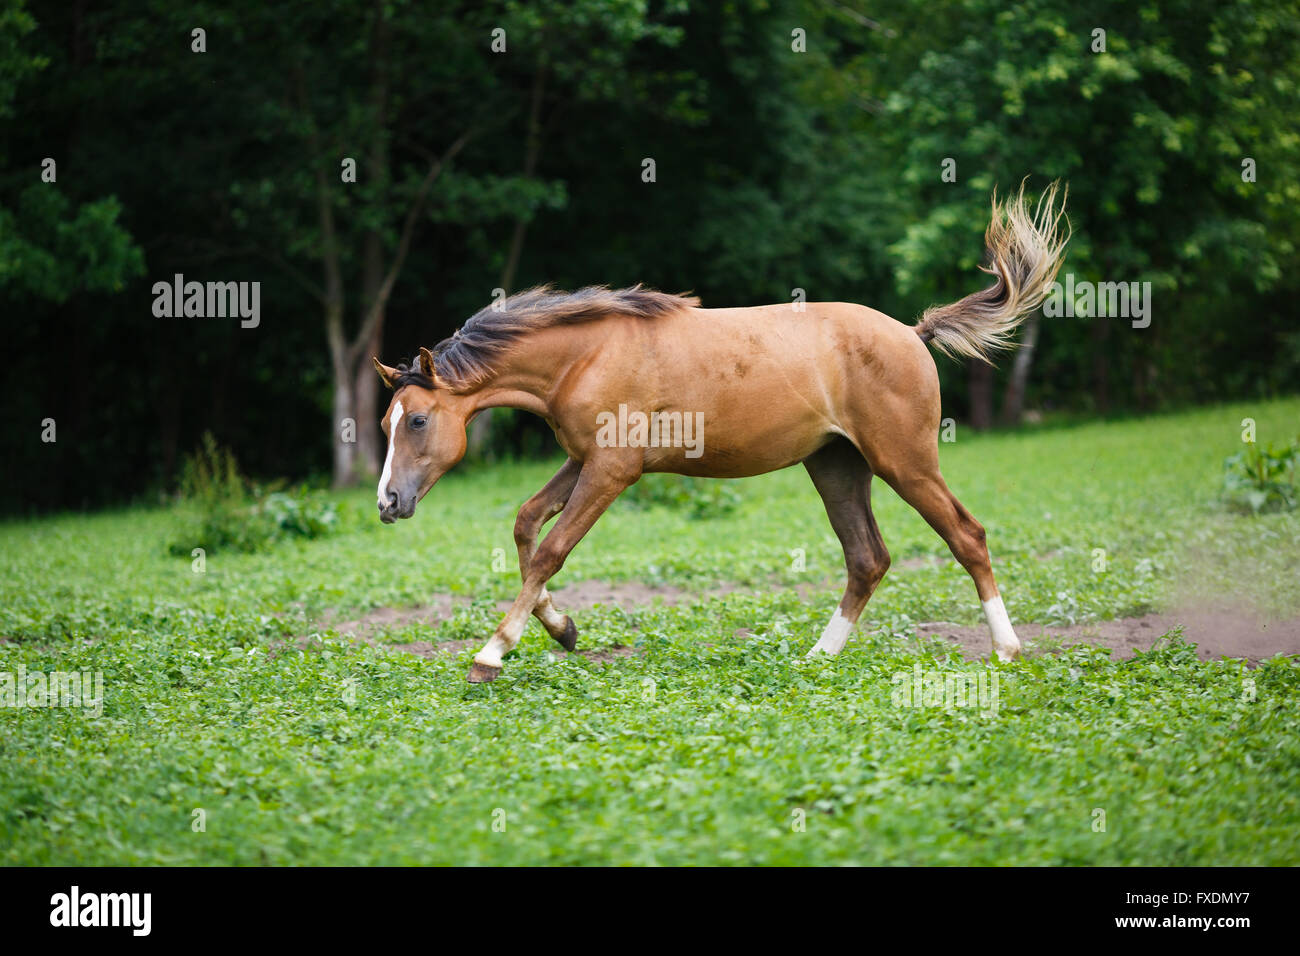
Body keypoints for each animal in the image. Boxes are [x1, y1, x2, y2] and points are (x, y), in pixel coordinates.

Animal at [373, 181, 1068, 682]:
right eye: (384, 421)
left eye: (417, 420)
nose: (388, 501)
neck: (586, 356)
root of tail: (912, 332)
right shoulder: (581, 461)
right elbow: (524, 524)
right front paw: (562, 629)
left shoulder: (613, 470)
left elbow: (550, 548)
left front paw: (491, 653)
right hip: (837, 466)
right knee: (868, 558)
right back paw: (818, 656)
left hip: (905, 460)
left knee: (966, 536)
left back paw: (1008, 649)